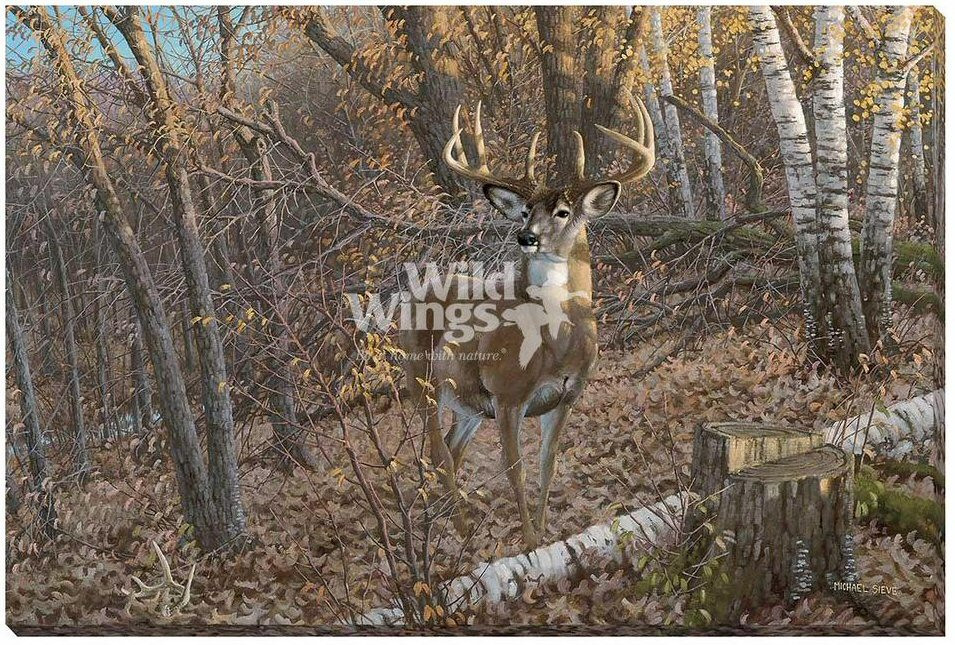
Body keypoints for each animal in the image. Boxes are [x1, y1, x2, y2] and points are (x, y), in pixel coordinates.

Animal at [400, 97, 655, 548]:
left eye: (563, 211)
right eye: (524, 210)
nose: (526, 236)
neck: (556, 346)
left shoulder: (566, 396)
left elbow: (547, 465)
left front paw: (546, 533)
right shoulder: (506, 394)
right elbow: (514, 469)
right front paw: (531, 543)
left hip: (467, 404)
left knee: (451, 449)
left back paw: (451, 525)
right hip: (422, 382)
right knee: (438, 453)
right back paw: (461, 534)